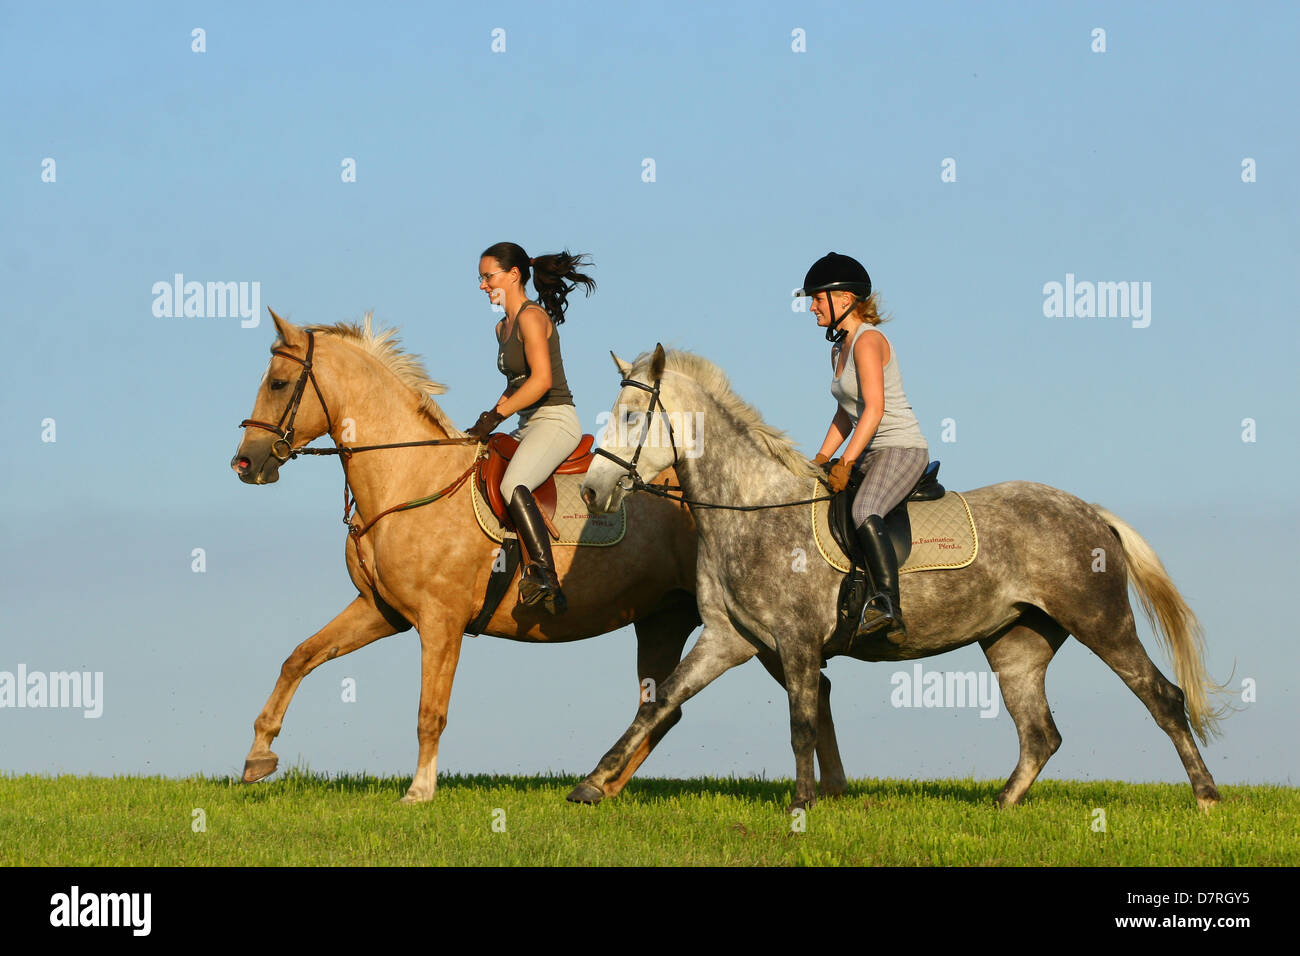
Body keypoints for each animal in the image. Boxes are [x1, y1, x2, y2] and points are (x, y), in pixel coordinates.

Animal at [229, 311, 851, 802]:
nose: (246, 462)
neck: (410, 478)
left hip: (755, 622)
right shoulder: (381, 611)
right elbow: (299, 657)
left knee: (804, 688)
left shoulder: (440, 621)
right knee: (670, 704)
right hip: (666, 618)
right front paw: (258, 755)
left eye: (279, 382)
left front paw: (420, 791)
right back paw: (607, 785)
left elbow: (430, 710)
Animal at [569, 344, 1228, 812]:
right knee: (1040, 733)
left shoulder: (796, 641)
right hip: (1016, 643)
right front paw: (592, 784)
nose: (592, 491)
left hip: (1100, 621)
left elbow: (801, 721)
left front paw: (801, 807)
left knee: (1162, 697)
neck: (751, 509)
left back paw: (1207, 798)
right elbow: (661, 702)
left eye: (633, 417)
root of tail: (1091, 512)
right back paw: (1001, 806)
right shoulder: (729, 639)